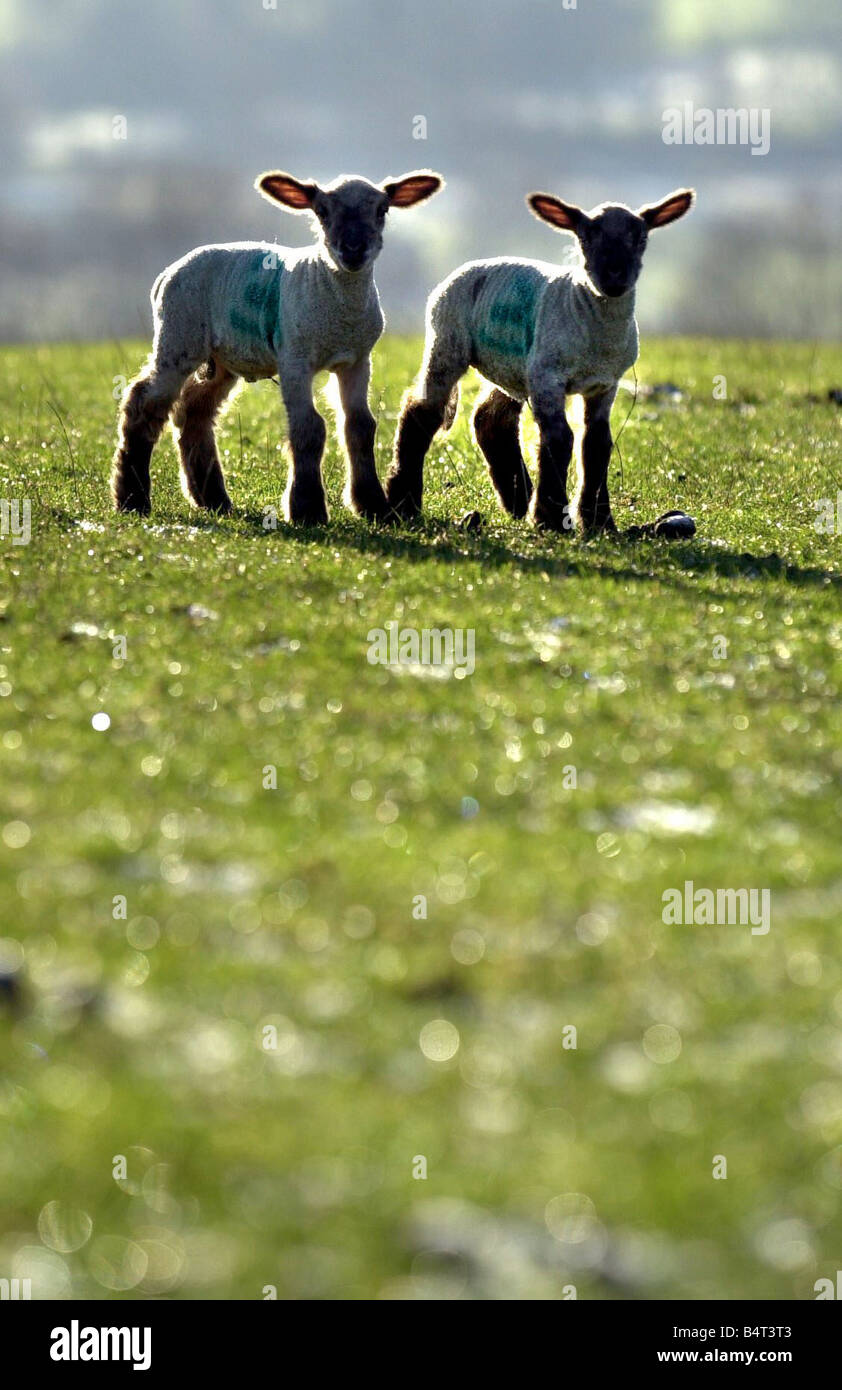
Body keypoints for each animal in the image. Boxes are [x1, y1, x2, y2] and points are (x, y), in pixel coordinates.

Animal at [111, 169, 444, 523]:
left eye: (382, 210)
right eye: (321, 211)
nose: (353, 250)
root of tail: (167, 272)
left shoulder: (356, 360)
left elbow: (360, 425)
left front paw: (373, 505)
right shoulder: (294, 358)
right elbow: (309, 427)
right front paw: (307, 508)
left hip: (223, 359)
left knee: (195, 412)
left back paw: (212, 498)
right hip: (179, 335)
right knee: (144, 402)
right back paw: (132, 499)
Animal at [385, 187, 697, 539]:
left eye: (640, 237)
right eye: (585, 237)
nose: (614, 278)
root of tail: (466, 269)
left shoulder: (604, 383)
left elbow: (596, 443)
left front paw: (599, 521)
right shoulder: (548, 375)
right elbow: (560, 438)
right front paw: (550, 517)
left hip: (511, 366)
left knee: (490, 418)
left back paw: (517, 500)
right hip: (448, 342)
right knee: (420, 411)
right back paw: (403, 503)